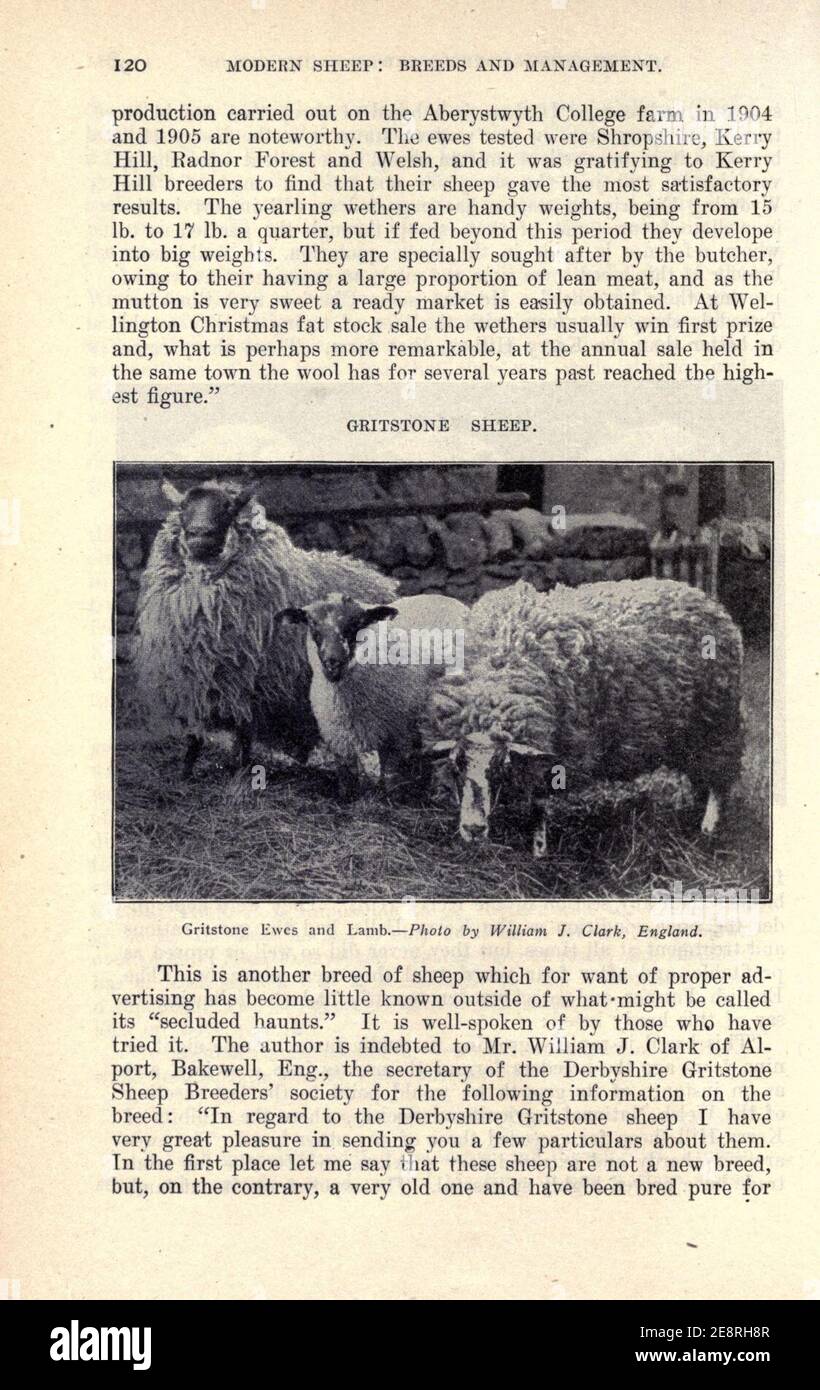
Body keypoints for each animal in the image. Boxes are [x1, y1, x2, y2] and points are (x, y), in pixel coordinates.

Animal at [132, 480, 398, 777]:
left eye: (228, 507)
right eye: (182, 508)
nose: (199, 533)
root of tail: (375, 576)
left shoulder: (250, 683)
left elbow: (245, 730)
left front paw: (241, 770)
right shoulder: (190, 684)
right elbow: (194, 735)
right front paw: (187, 772)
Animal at [274, 592, 469, 798]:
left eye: (357, 624)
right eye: (312, 624)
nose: (332, 662)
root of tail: (444, 597)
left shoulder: (395, 734)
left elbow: (390, 777)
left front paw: (392, 798)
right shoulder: (339, 737)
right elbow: (348, 776)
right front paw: (348, 796)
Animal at [422, 577, 744, 856]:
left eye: (501, 768)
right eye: (457, 766)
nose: (473, 829)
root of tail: (702, 597)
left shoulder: (554, 756)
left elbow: (538, 805)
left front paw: (539, 850)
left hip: (717, 724)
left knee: (718, 780)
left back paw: (708, 827)